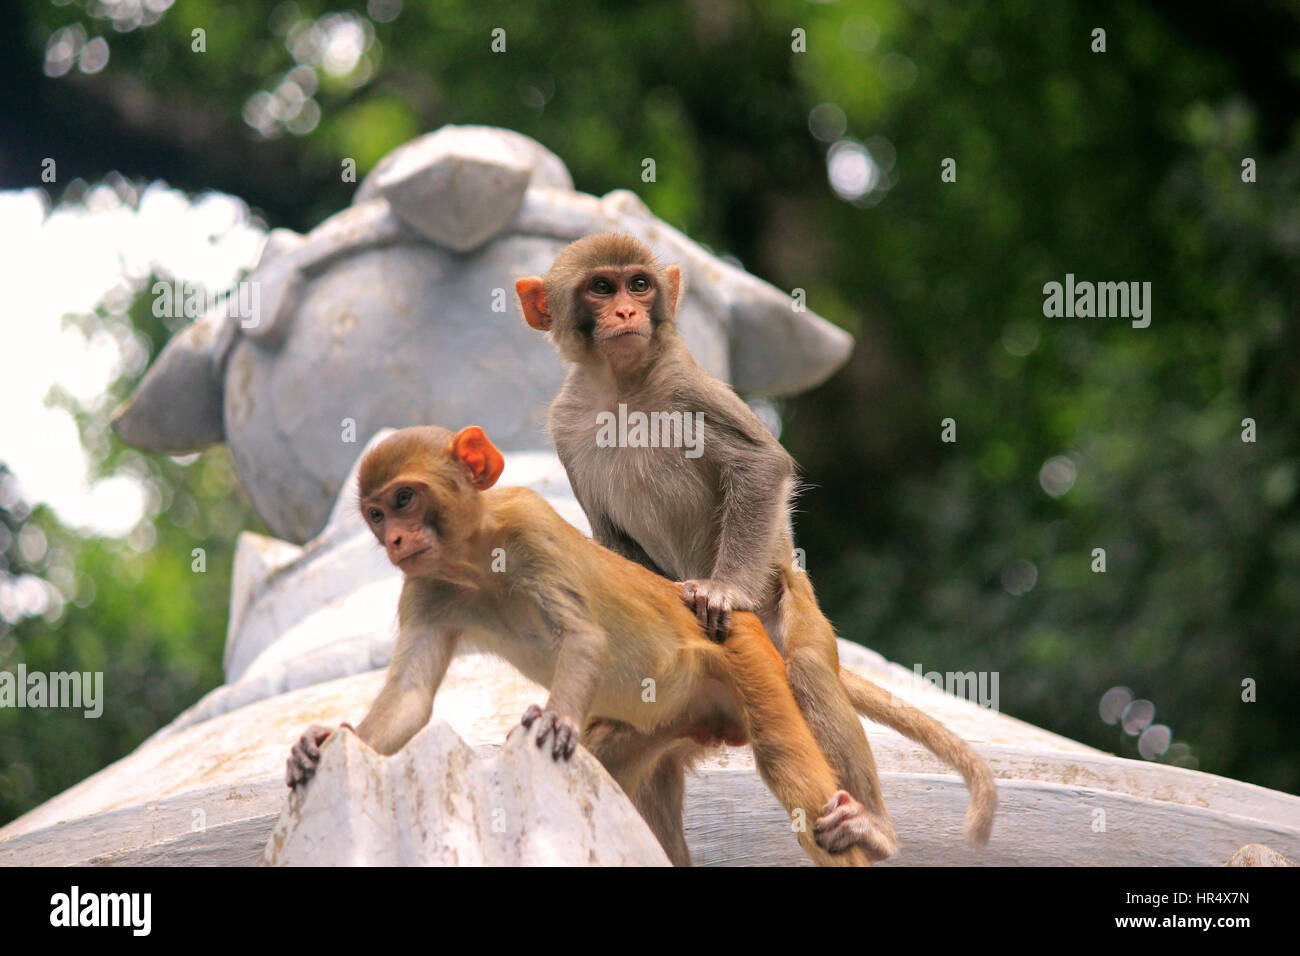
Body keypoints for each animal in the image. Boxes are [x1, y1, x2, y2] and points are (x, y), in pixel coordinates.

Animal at [285, 424, 877, 867]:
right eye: (376, 515)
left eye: (404, 498)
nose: (394, 540)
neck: (473, 559)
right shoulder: (425, 588)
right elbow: (410, 696)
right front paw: (328, 738)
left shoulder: (530, 533)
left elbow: (584, 637)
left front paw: (554, 718)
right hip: (669, 722)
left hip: (745, 654)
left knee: (782, 754)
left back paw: (868, 831)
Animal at [516, 233, 997, 858]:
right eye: (602, 287)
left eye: (638, 285)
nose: (625, 313)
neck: (621, 386)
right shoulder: (566, 425)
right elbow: (608, 534)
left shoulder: (686, 386)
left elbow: (760, 464)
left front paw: (720, 591)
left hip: (782, 605)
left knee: (808, 668)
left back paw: (873, 827)